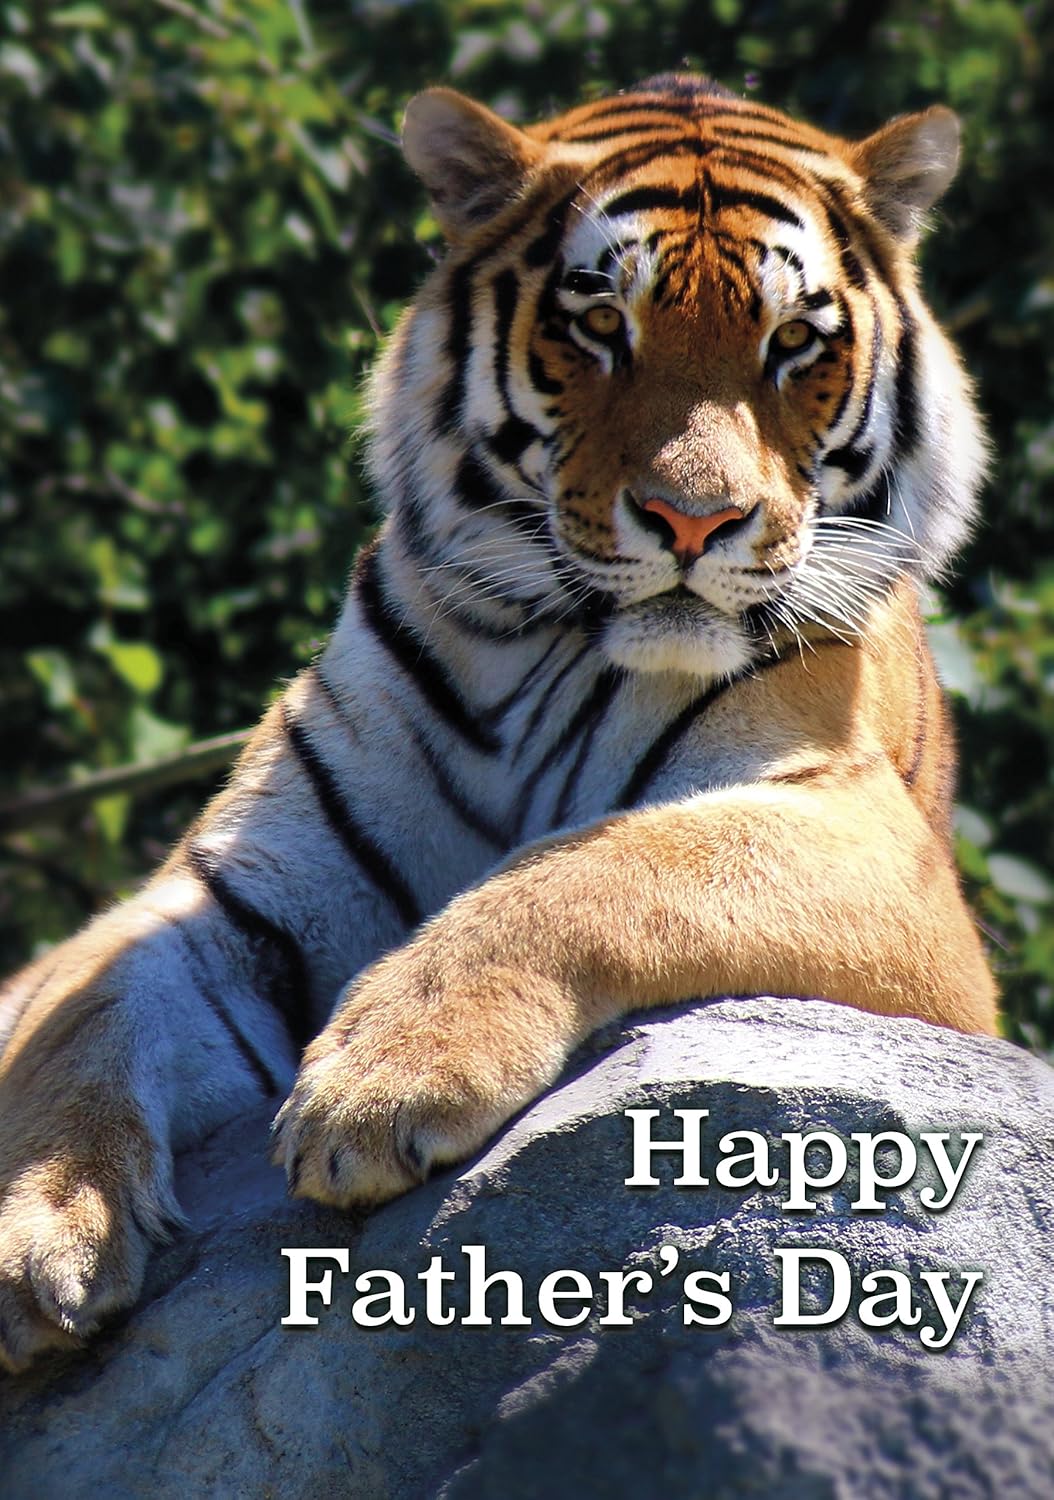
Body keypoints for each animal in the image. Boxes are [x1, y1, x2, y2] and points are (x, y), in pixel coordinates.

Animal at [0, 73, 998, 1372]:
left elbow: (606, 867)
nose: (694, 521)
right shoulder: (233, 898)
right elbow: (84, 1015)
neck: (544, 651)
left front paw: (379, 1084)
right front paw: (41, 1233)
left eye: (793, 344)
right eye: (600, 326)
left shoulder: (873, 847)